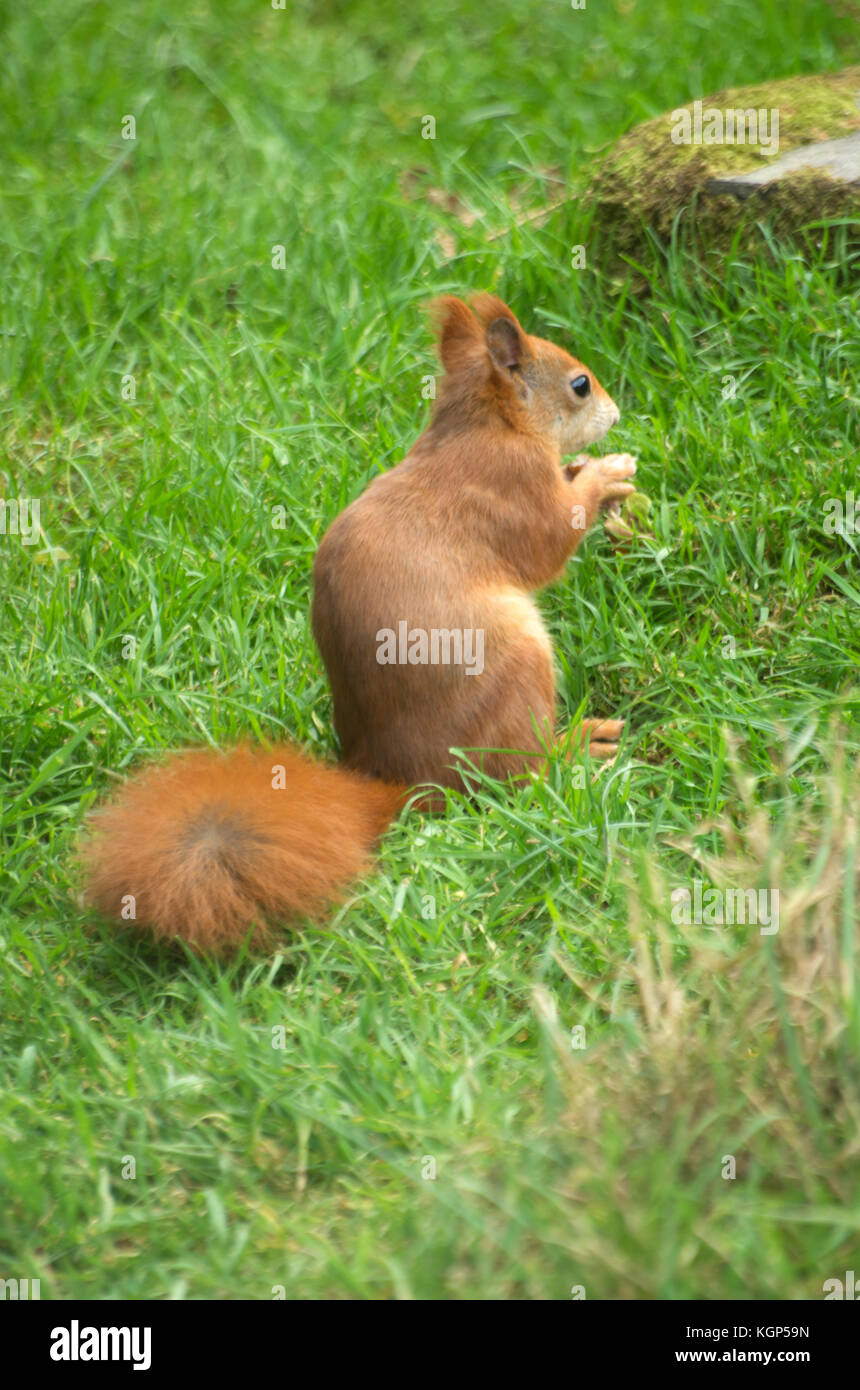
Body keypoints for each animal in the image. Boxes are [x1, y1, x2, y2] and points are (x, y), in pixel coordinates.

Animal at [81, 294, 637, 953]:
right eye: (579, 385)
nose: (617, 412)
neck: (486, 426)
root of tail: (408, 779)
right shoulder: (513, 488)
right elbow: (550, 542)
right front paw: (603, 474)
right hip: (518, 670)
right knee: (517, 775)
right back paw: (577, 744)